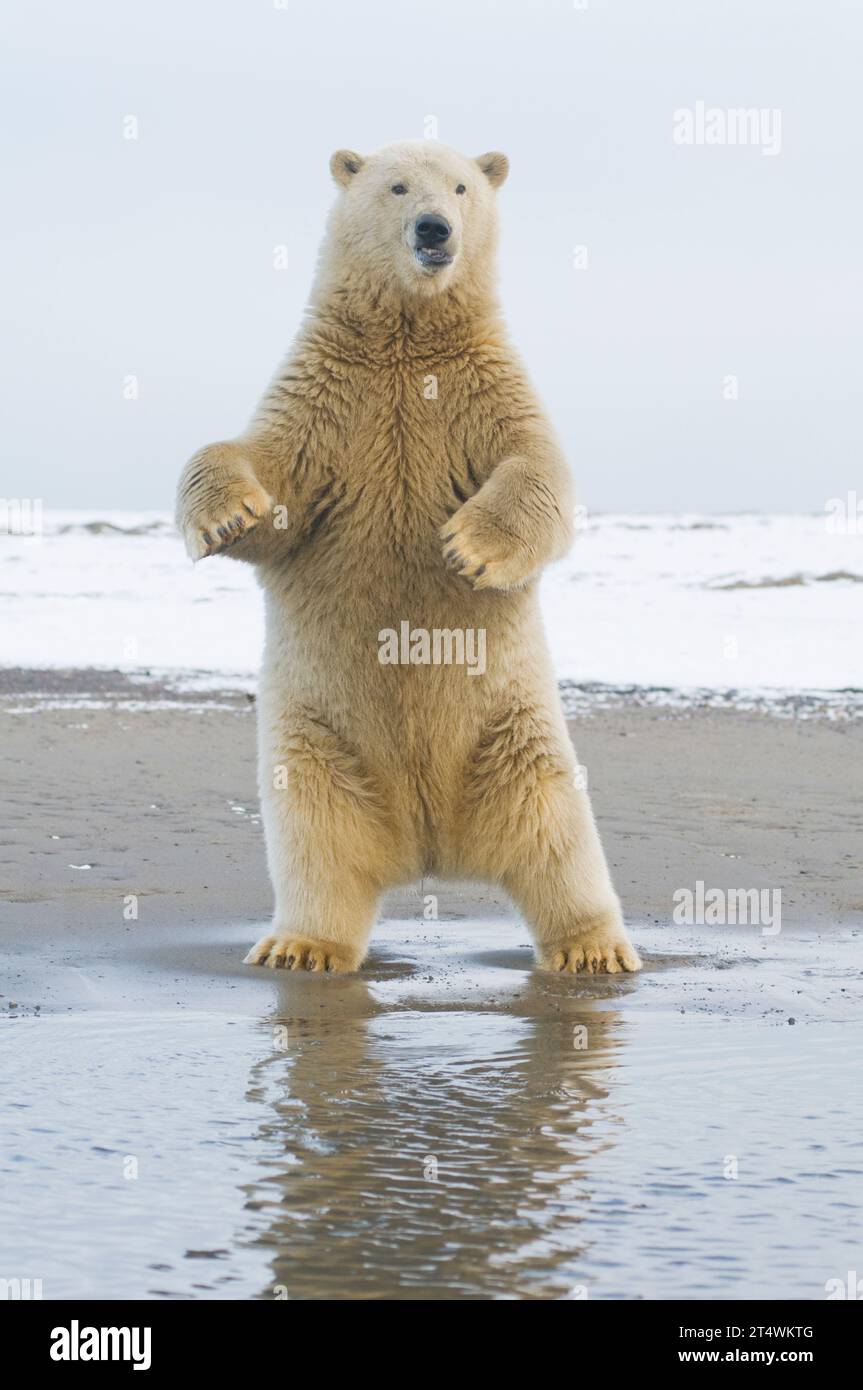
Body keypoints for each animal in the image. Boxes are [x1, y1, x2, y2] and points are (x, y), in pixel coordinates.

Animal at [176, 140, 641, 976]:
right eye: (396, 186)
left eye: (459, 187)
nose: (434, 229)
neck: (405, 338)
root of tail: (432, 849)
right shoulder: (328, 395)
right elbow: (269, 474)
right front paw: (229, 512)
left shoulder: (479, 385)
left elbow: (537, 470)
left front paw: (467, 546)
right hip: (316, 741)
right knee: (317, 842)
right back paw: (301, 946)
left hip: (515, 736)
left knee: (558, 836)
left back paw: (591, 949)